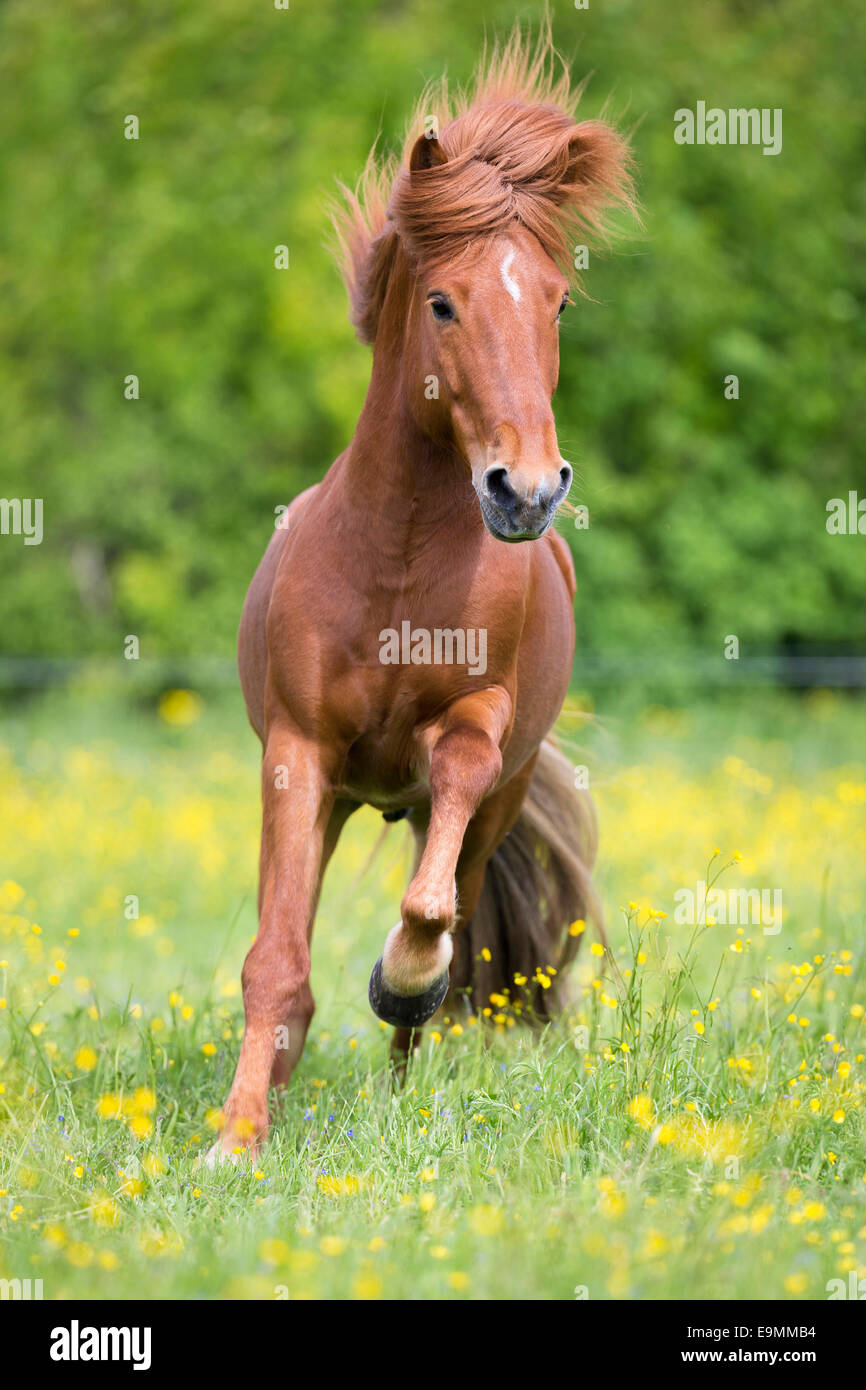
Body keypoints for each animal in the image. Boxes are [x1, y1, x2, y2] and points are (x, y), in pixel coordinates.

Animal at [208, 25, 634, 1162]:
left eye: (557, 301)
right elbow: (276, 959)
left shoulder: (473, 739)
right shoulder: (296, 754)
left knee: (448, 952)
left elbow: (433, 919)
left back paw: (403, 1079)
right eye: (443, 302)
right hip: (336, 796)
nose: (526, 490)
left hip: (492, 802)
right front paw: (237, 1136)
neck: (394, 555)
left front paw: (399, 978)